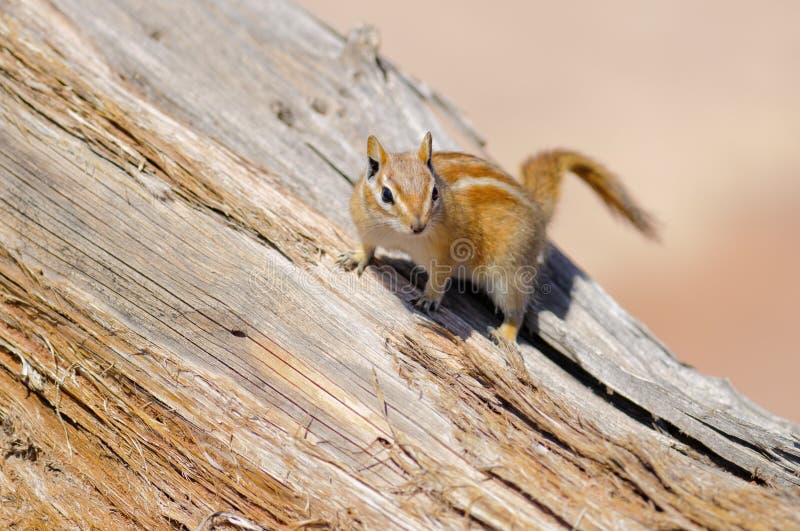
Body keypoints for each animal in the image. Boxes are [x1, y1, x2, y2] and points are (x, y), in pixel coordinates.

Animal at [338, 132, 656, 345]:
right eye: (386, 195)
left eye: (434, 193)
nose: (418, 225)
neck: (400, 235)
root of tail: (537, 209)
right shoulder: (366, 225)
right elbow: (367, 245)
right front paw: (355, 257)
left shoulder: (446, 251)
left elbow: (440, 278)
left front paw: (428, 299)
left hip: (509, 274)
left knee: (517, 310)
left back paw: (505, 333)